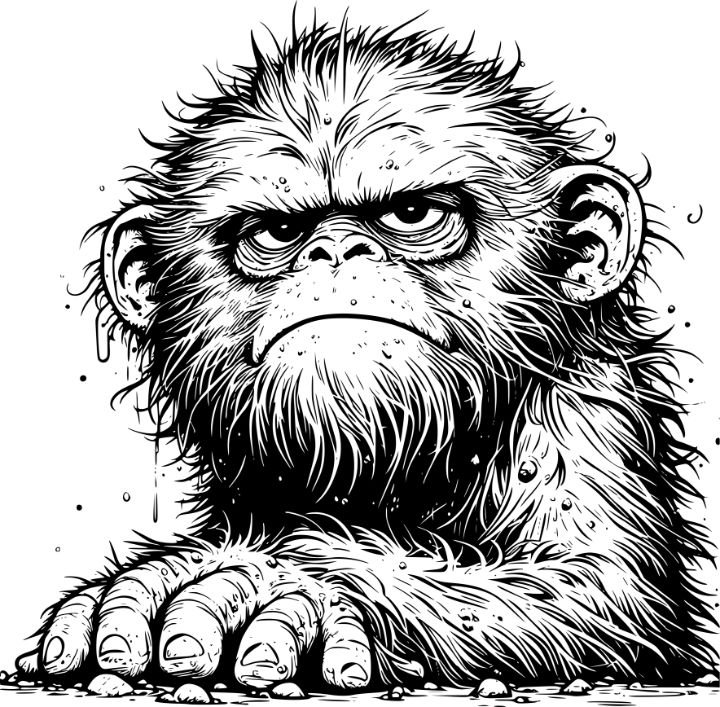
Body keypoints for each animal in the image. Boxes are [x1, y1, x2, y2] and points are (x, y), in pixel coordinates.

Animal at [16, 21, 716, 693]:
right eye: (276, 232)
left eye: (414, 212)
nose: (336, 251)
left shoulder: (582, 413)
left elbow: (596, 587)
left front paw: (279, 582)